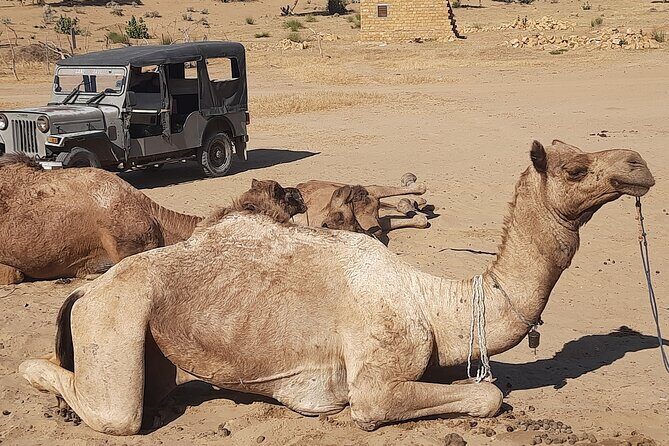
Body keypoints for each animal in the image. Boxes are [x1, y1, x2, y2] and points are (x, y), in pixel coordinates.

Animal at [18, 140, 655, 435]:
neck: (435, 303)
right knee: (116, 411)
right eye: (574, 168)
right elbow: (483, 396)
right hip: (117, 316)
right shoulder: (374, 376)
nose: (638, 162)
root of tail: (88, 291)